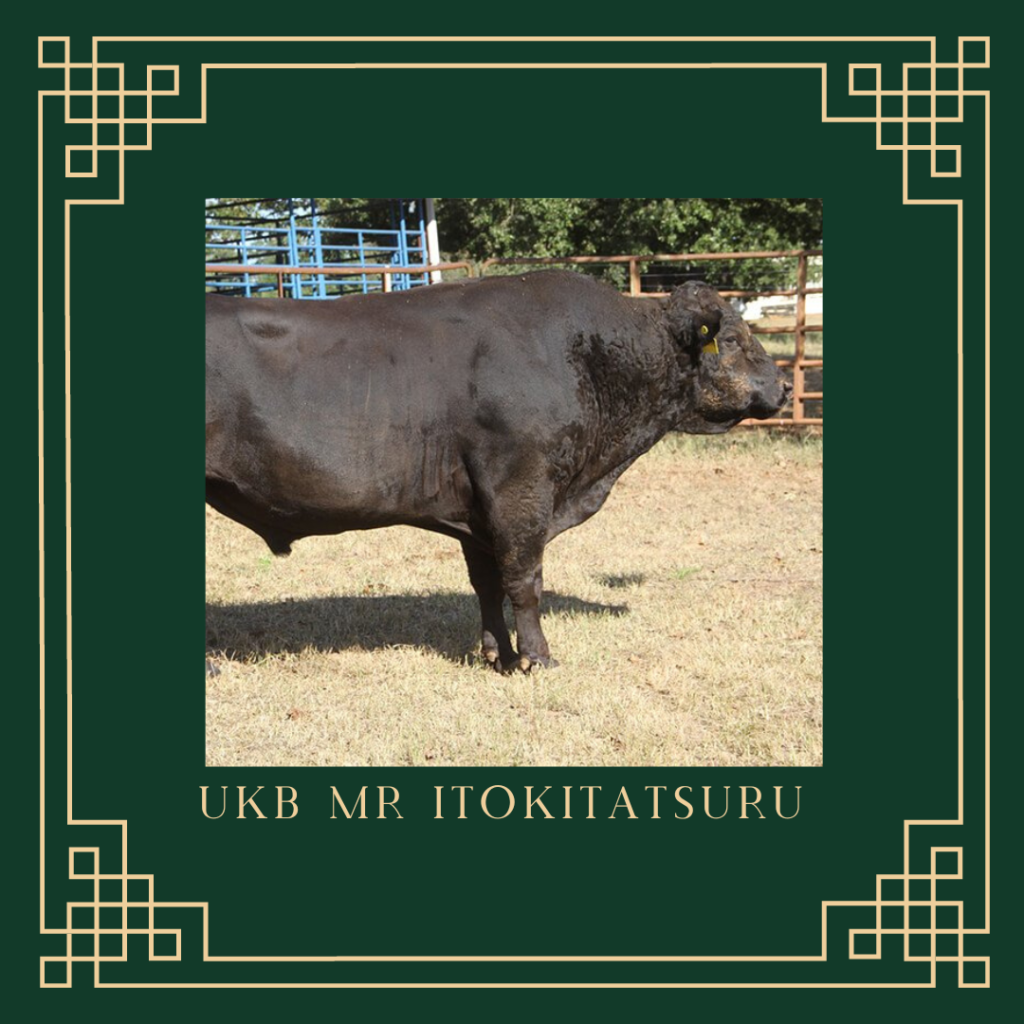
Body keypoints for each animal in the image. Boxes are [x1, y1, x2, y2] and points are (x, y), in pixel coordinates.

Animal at [206, 270, 791, 672]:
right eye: (731, 340)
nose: (784, 386)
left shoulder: (477, 511)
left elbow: (487, 583)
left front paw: (499, 656)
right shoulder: (520, 489)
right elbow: (525, 580)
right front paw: (538, 658)